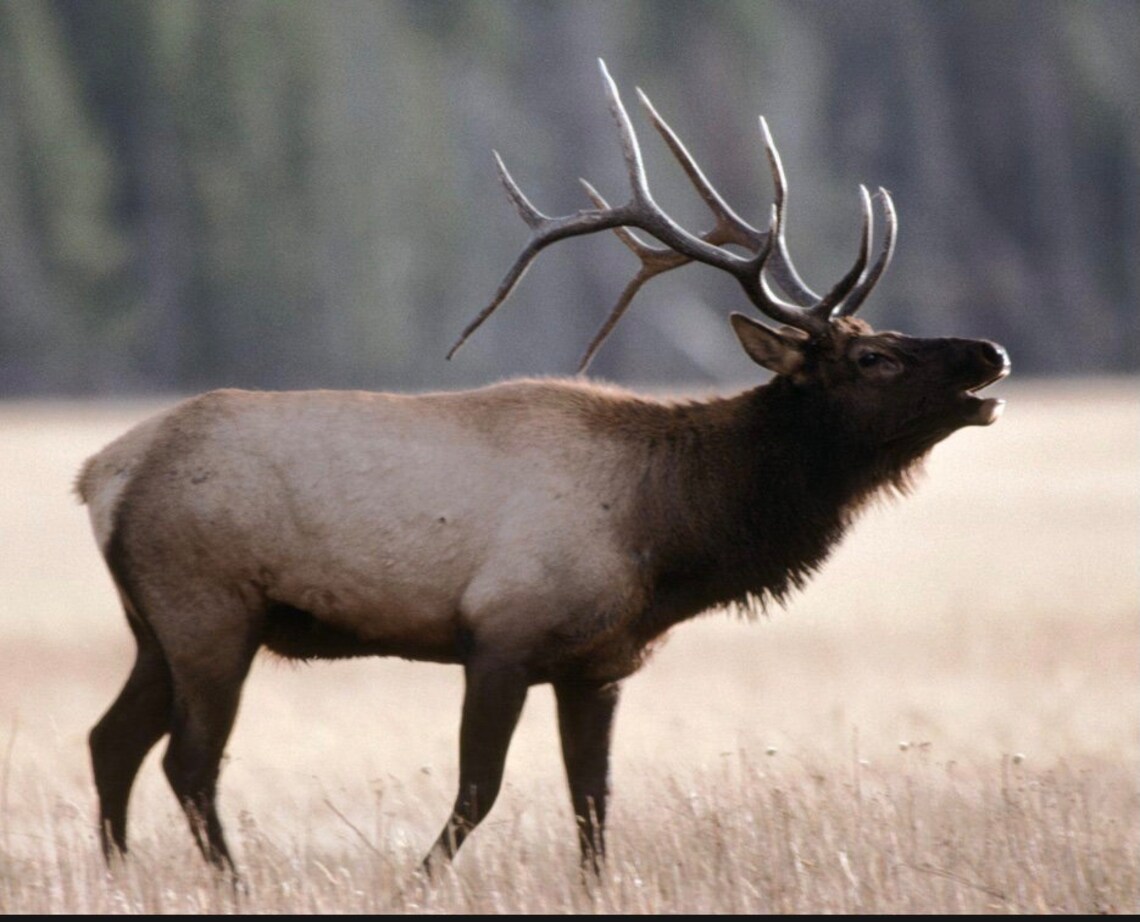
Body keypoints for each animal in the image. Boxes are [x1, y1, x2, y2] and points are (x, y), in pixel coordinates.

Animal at [77, 60, 1008, 877]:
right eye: (875, 359)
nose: (990, 353)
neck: (665, 534)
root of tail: (103, 475)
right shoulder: (502, 634)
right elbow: (477, 793)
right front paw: (415, 883)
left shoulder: (597, 664)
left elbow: (592, 805)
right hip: (209, 612)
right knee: (188, 763)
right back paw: (228, 883)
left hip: (154, 625)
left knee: (110, 740)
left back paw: (120, 876)